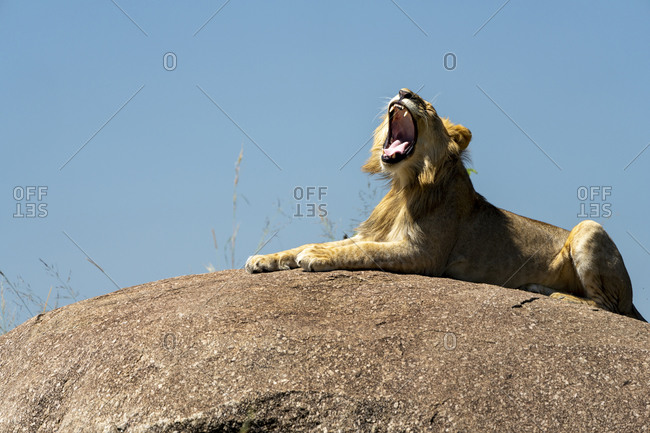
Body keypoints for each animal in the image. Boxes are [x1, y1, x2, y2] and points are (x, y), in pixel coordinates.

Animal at [245, 88, 646, 321]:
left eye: (427, 105)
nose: (404, 91)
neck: (404, 185)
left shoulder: (423, 255)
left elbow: (362, 252)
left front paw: (316, 256)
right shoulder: (376, 234)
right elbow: (324, 244)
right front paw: (265, 258)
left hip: (589, 228)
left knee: (611, 308)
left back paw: (548, 292)